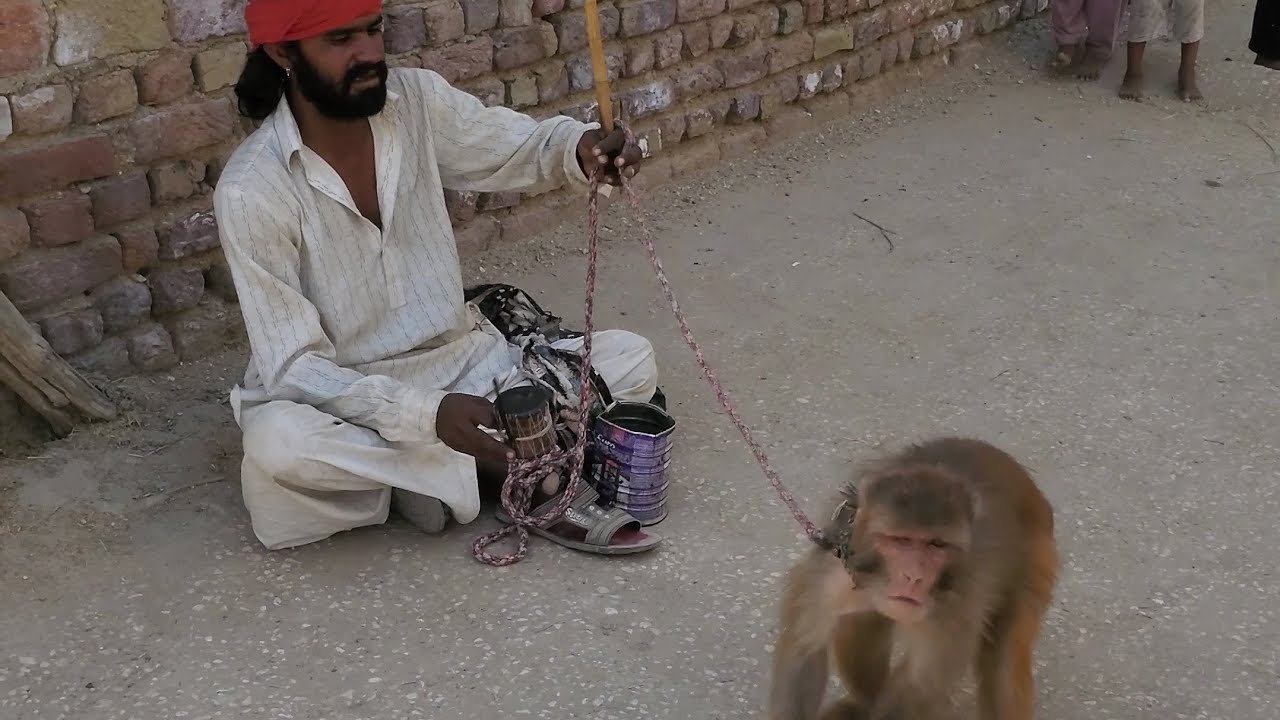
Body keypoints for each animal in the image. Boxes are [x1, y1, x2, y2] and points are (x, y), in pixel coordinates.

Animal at [767, 437, 1060, 720]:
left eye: (936, 544)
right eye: (902, 540)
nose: (914, 577)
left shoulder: (957, 604)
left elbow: (919, 686)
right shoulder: (834, 568)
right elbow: (805, 645)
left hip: (1036, 559)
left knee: (1003, 662)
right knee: (861, 622)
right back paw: (862, 704)